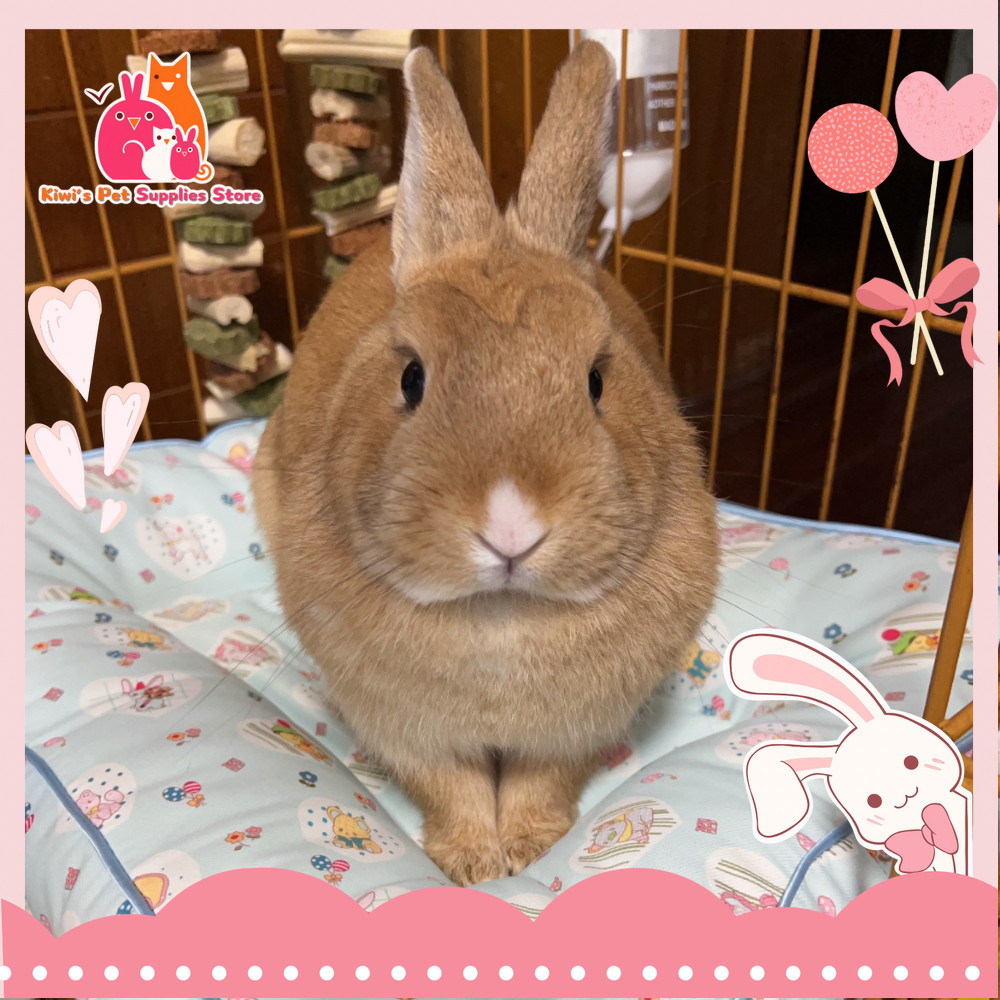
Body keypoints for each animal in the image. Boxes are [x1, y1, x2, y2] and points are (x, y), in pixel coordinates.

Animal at [252, 41, 719, 886]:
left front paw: (529, 851)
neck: (500, 619)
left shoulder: (571, 734)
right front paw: (472, 863)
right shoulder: (407, 731)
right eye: (411, 378)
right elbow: (455, 788)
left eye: (597, 379)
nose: (510, 526)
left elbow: (540, 782)